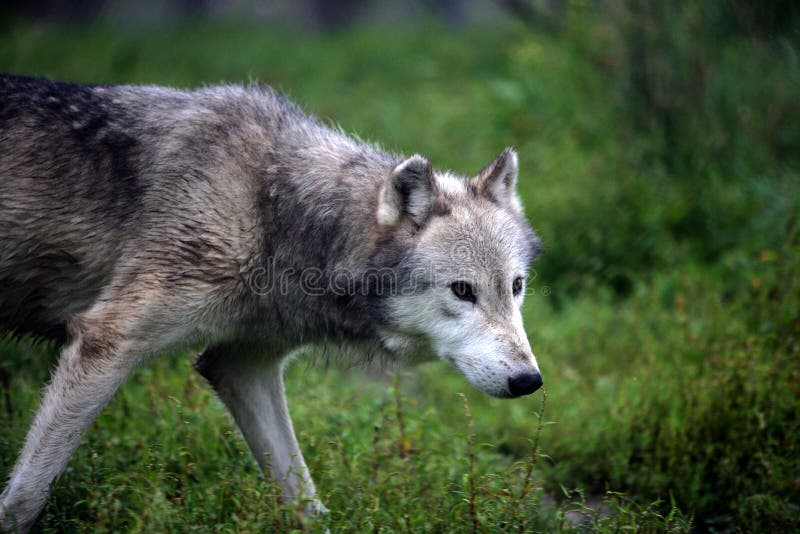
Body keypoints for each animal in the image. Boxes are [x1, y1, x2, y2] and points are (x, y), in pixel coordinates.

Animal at [0, 72, 543, 531]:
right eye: (462, 290)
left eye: (515, 287)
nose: (530, 381)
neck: (270, 210)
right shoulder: (107, 340)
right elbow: (25, 496)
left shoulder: (242, 365)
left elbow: (303, 496)